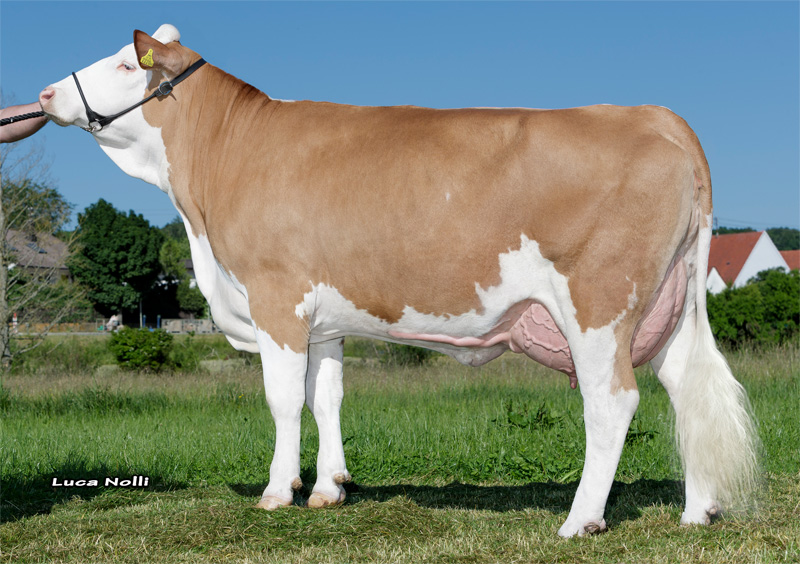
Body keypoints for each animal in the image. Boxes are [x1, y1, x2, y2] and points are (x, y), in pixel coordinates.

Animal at [39, 24, 757, 537]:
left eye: (125, 64)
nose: (45, 94)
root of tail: (656, 116)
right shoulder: (324, 319)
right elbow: (325, 397)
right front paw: (326, 489)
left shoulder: (276, 297)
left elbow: (283, 400)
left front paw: (275, 493)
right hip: (668, 306)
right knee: (686, 390)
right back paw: (696, 513)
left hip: (599, 305)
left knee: (613, 403)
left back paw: (579, 520)